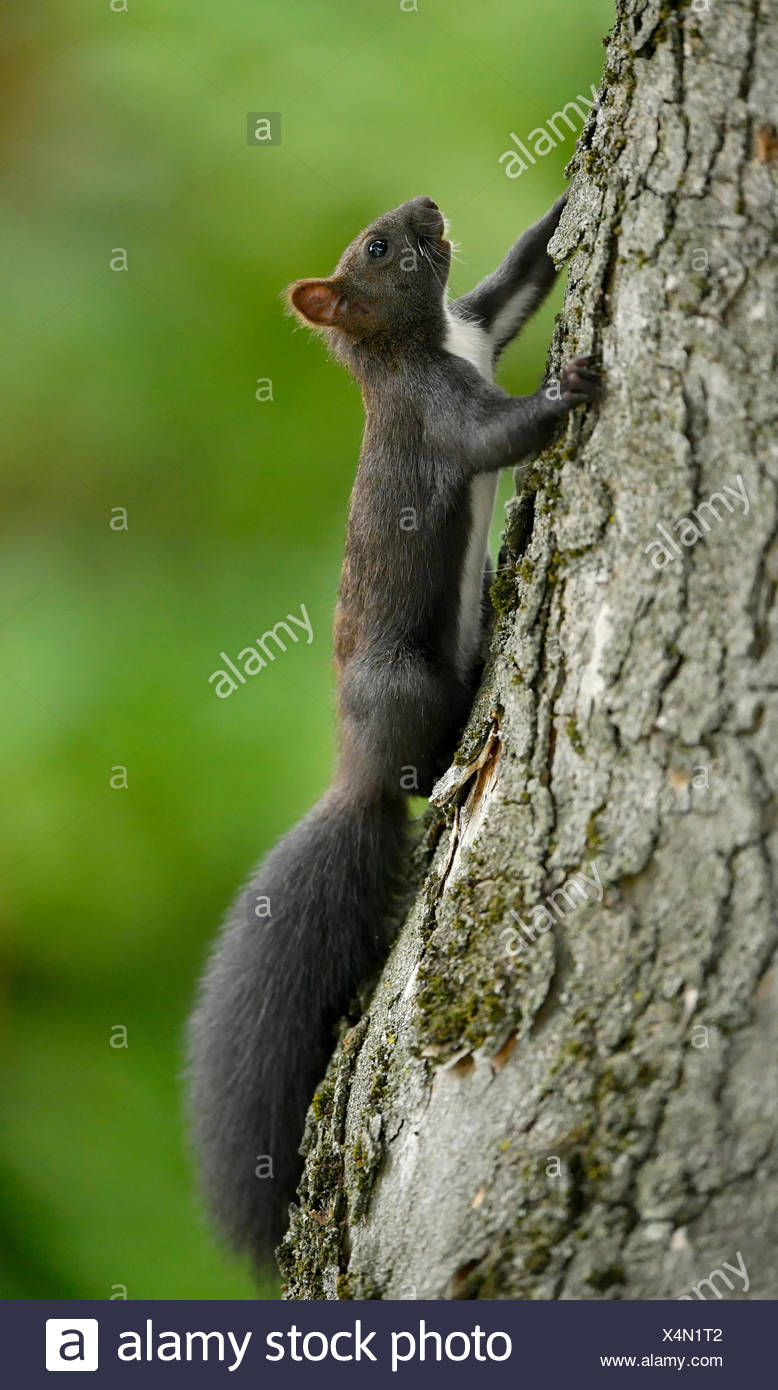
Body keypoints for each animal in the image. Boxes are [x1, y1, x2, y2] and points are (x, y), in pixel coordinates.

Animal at [187, 193, 600, 1273]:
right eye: (378, 250)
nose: (426, 207)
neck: (419, 342)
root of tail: (356, 769)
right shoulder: (439, 413)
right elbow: (498, 438)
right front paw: (571, 384)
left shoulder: (481, 320)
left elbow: (521, 275)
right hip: (402, 685)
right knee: (420, 766)